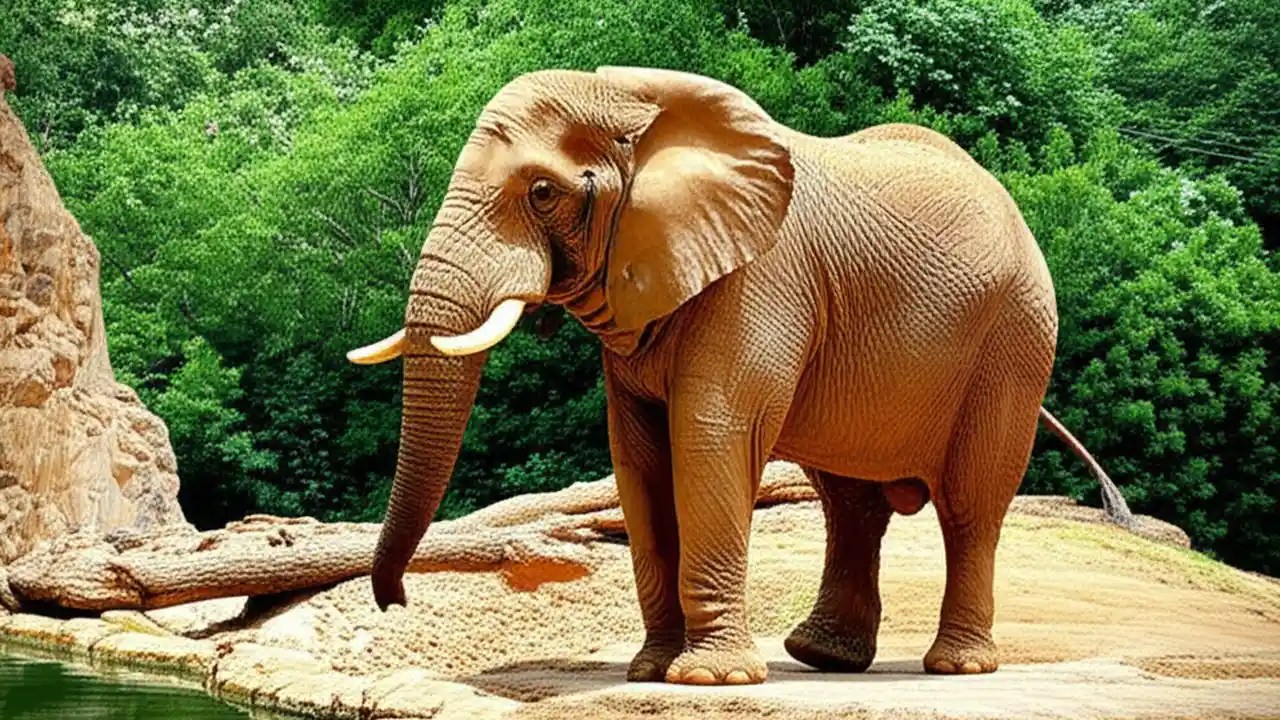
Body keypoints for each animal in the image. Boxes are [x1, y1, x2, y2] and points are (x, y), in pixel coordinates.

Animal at [347, 66, 1099, 686]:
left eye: (540, 192)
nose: (395, 600)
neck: (631, 100)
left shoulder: (763, 280)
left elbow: (710, 434)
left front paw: (709, 679)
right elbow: (639, 456)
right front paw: (652, 670)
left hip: (1015, 341)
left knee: (972, 504)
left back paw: (958, 666)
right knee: (851, 505)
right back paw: (820, 656)